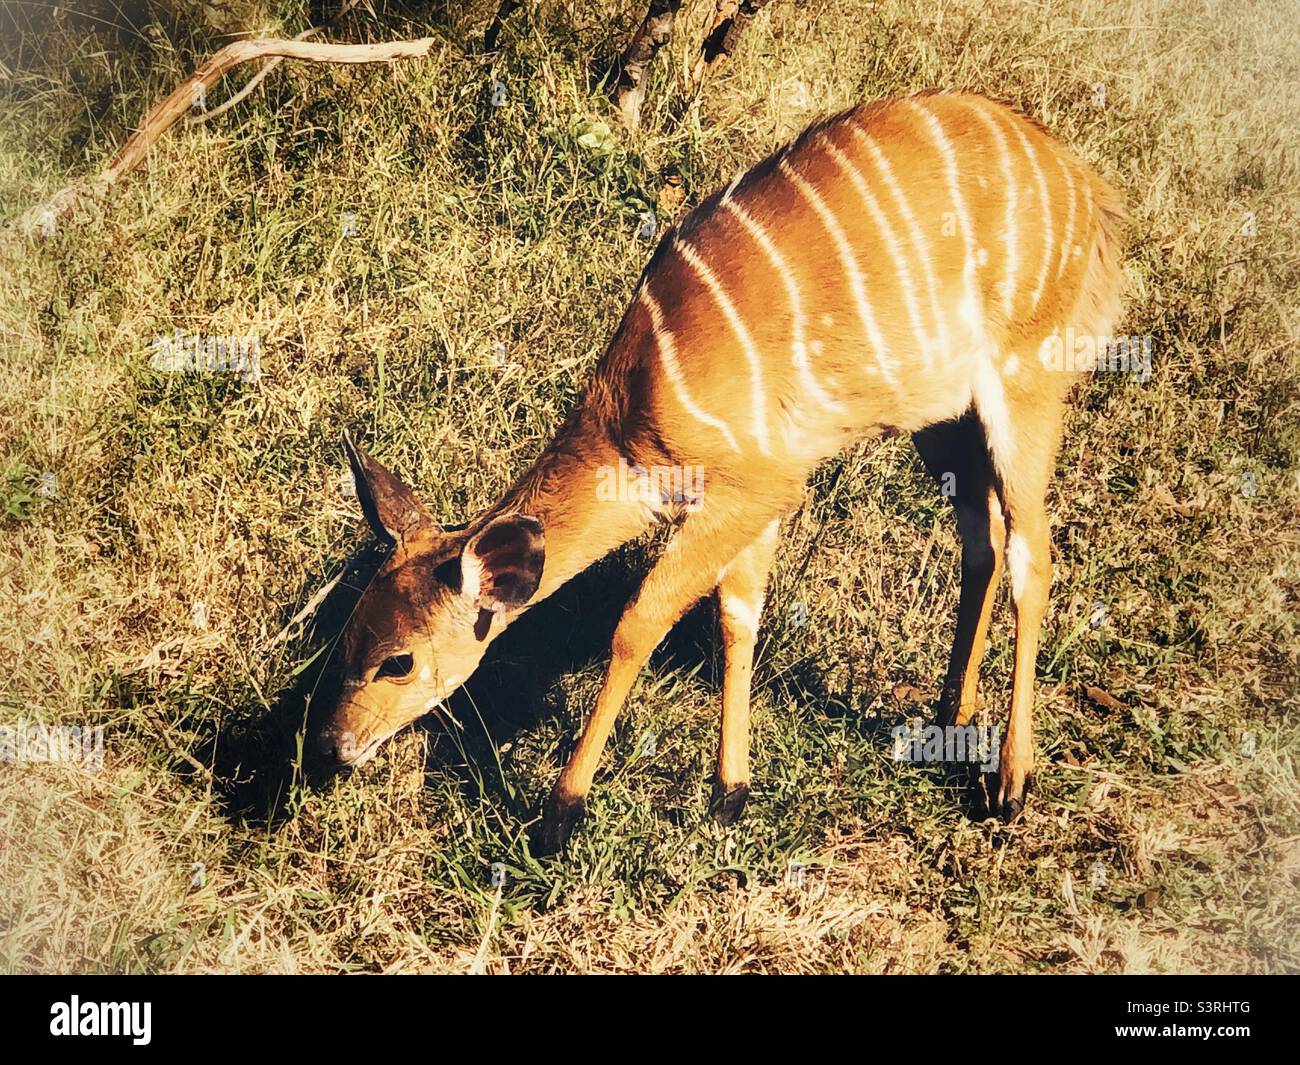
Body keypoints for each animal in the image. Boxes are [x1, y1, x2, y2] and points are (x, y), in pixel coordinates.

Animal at [317, 90, 1125, 854]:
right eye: (347, 637)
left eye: (398, 661)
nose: (333, 745)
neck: (630, 420)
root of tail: (1090, 192)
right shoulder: (757, 496)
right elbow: (740, 615)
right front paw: (729, 794)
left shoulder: (756, 485)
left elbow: (639, 622)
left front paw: (559, 814)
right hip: (944, 420)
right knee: (981, 542)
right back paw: (949, 717)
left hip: (1026, 382)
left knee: (1032, 554)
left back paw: (1010, 783)